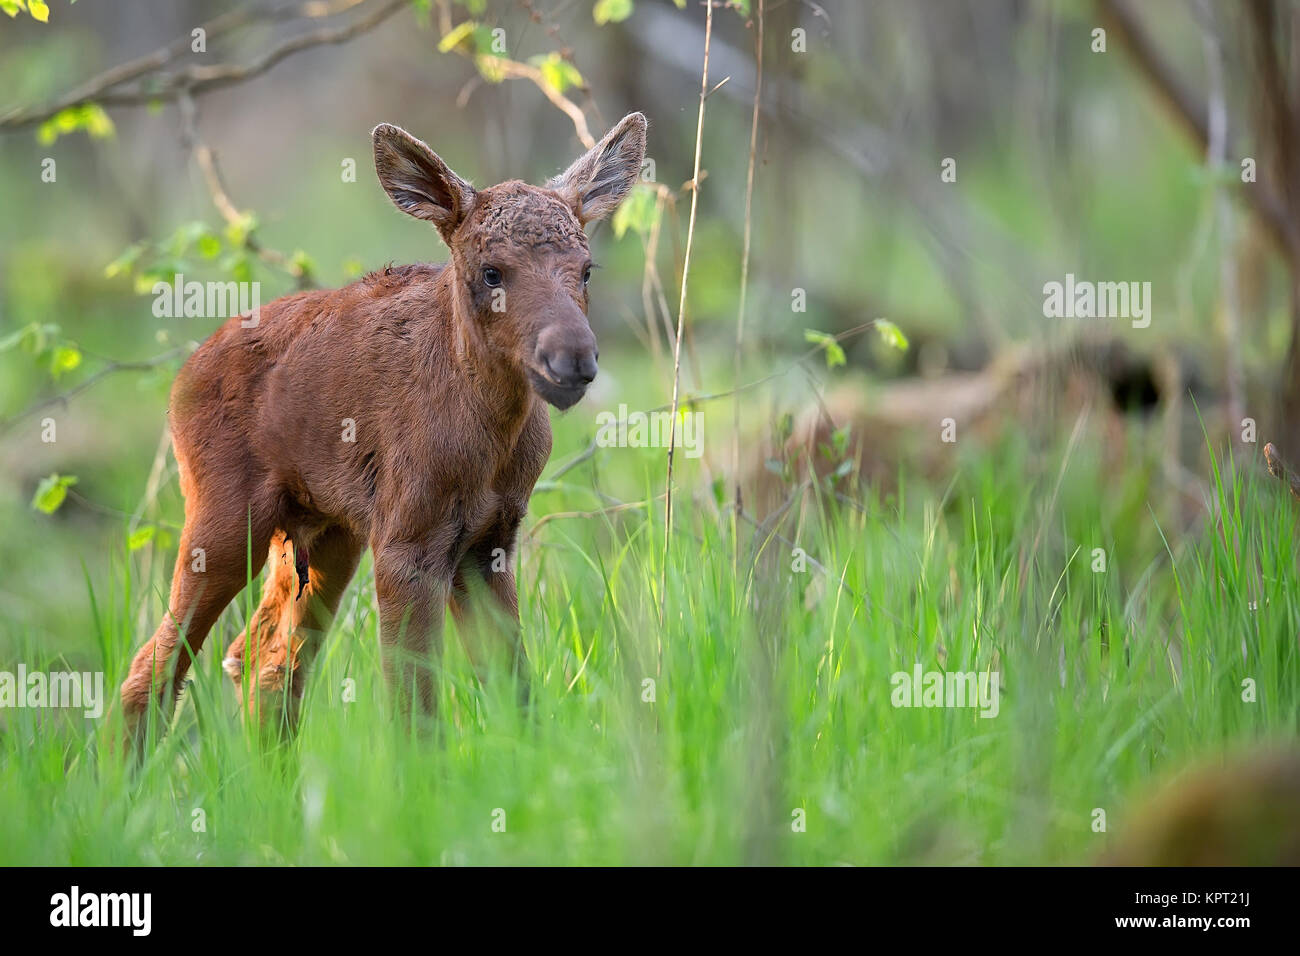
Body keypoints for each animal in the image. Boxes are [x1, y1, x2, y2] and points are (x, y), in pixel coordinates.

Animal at [119, 111, 648, 752]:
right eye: (490, 271)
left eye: (586, 269)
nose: (573, 358)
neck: (491, 441)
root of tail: (183, 373)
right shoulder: (406, 542)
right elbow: (414, 712)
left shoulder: (490, 541)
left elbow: (515, 692)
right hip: (224, 518)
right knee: (155, 666)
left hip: (324, 534)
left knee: (264, 660)